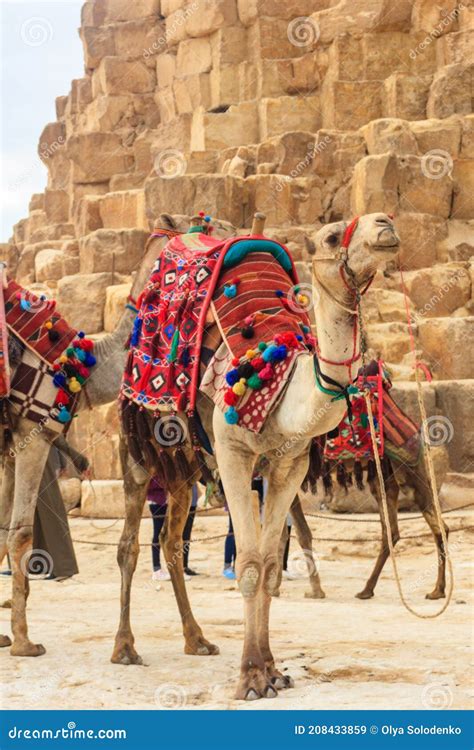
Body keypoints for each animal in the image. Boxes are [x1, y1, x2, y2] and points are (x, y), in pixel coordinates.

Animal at [0, 213, 234, 657]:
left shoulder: (8, 446)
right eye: (209, 227)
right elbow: (20, 532)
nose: (241, 233)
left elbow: (3, 529)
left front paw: (6, 636)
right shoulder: (32, 434)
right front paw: (23, 640)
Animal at [111, 212, 400, 701]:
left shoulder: (289, 464)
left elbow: (267, 563)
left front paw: (272, 669)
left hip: (185, 465)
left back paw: (197, 639)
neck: (282, 385)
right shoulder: (233, 453)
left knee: (171, 541)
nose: (386, 224)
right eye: (330, 235)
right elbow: (247, 564)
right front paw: (249, 677)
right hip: (137, 445)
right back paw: (125, 648)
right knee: (129, 545)